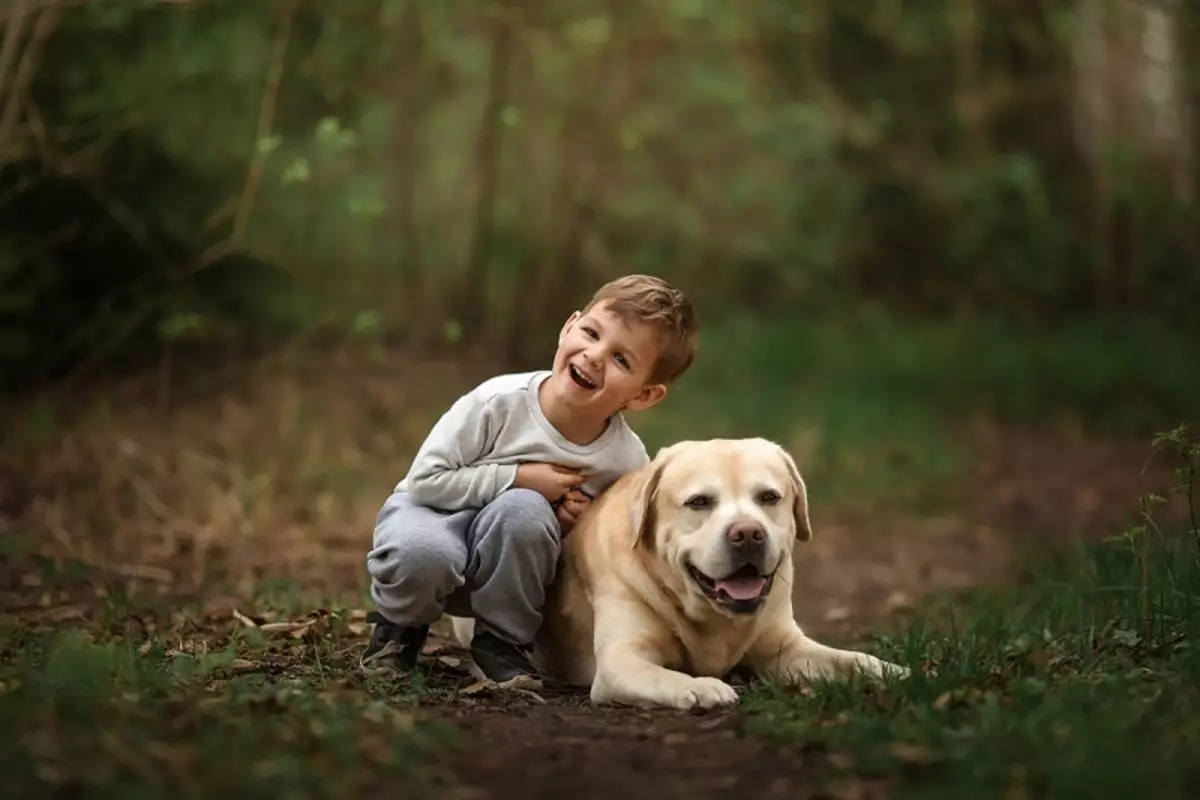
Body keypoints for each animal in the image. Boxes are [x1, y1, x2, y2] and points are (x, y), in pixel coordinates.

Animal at [451, 438, 907, 705]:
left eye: (769, 497)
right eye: (699, 502)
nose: (748, 533)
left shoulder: (786, 649)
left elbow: (852, 659)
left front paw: (892, 670)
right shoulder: (621, 662)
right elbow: (661, 676)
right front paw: (700, 686)